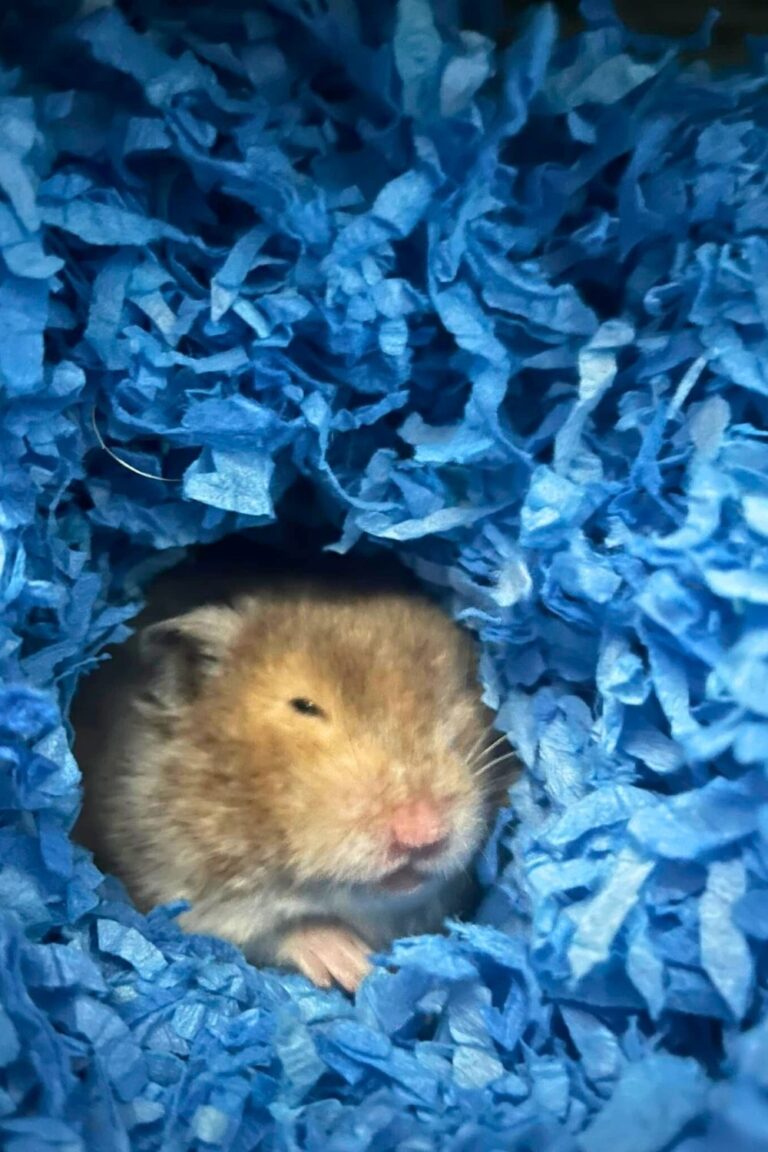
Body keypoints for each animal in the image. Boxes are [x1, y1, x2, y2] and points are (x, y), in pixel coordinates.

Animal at [73, 555, 516, 992]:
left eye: (461, 693)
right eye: (304, 706)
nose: (422, 833)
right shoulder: (167, 882)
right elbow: (271, 930)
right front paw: (354, 967)